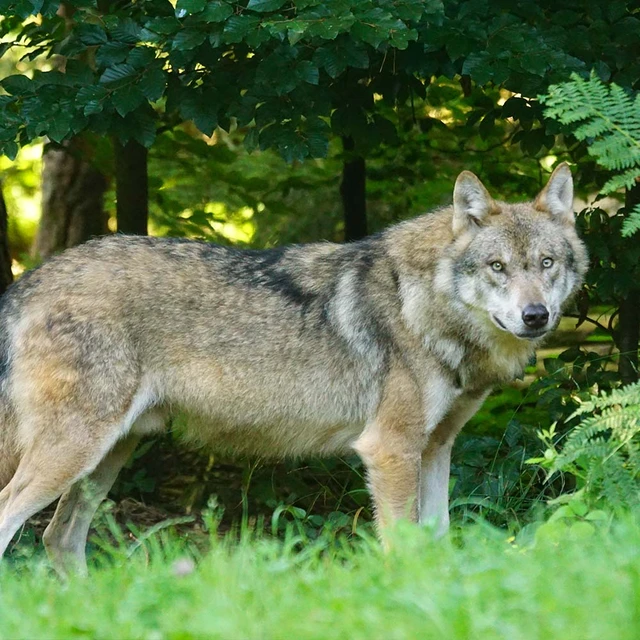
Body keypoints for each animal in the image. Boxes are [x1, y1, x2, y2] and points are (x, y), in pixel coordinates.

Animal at [0, 163, 587, 574]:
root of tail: (30, 279)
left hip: (107, 457)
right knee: (14, 518)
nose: (536, 315)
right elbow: (403, 546)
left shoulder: (437, 447)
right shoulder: (390, 449)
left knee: (59, 538)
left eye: (546, 264)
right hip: (75, 452)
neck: (423, 304)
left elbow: (437, 539)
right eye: (497, 267)